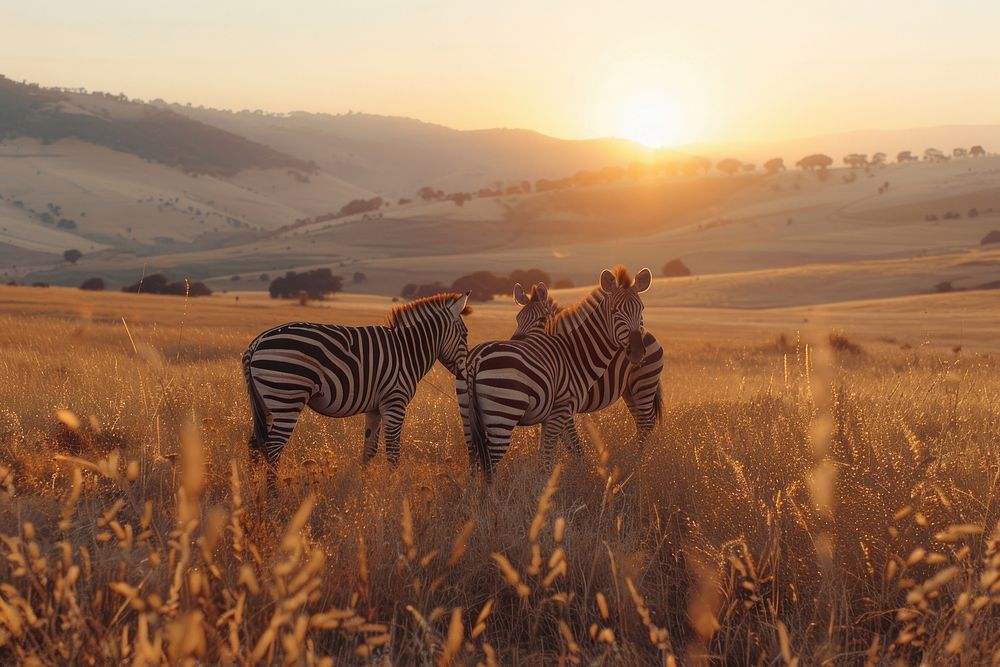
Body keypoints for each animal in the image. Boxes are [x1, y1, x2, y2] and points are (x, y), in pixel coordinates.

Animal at [243, 291, 471, 481]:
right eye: (466, 335)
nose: (466, 372)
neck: (407, 350)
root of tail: (257, 342)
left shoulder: (375, 407)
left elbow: (369, 450)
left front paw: (365, 488)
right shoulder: (395, 402)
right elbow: (393, 451)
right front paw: (395, 489)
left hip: (266, 402)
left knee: (255, 445)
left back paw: (257, 495)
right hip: (286, 397)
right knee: (273, 448)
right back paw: (274, 497)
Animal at [511, 281, 664, 453]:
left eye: (541, 320)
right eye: (518, 319)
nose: (516, 344)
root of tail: (647, 333)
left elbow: (570, 438)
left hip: (643, 382)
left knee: (646, 422)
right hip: (629, 391)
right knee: (640, 421)